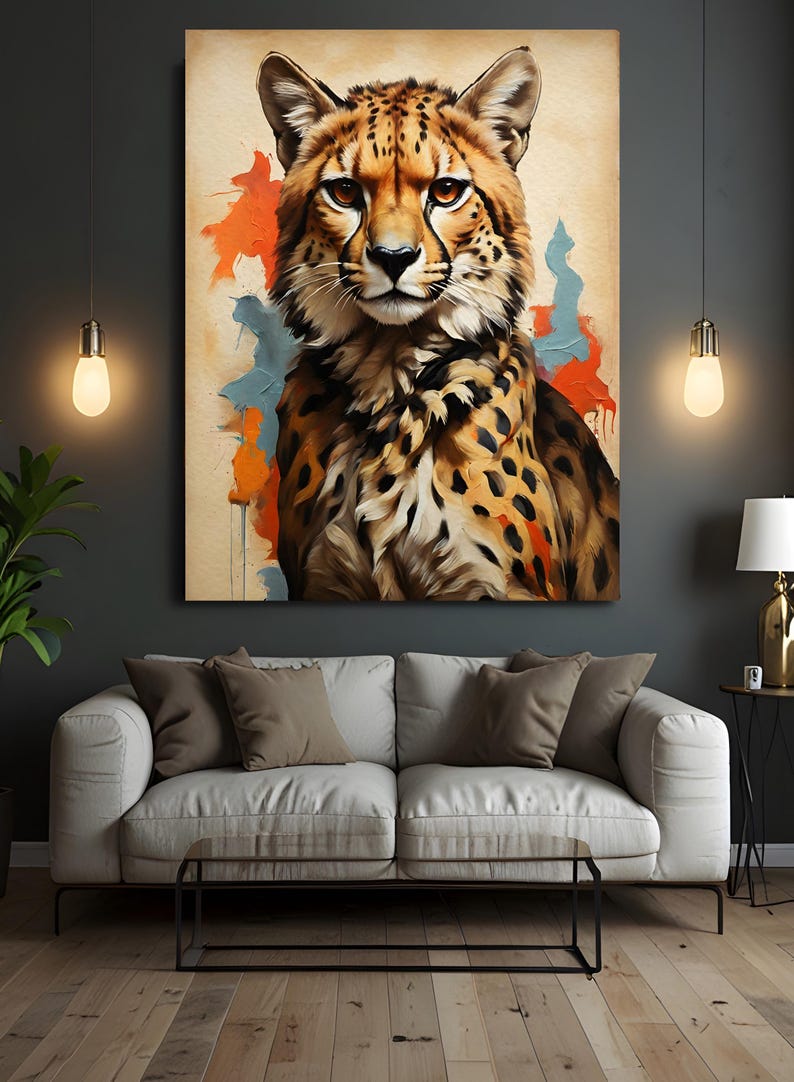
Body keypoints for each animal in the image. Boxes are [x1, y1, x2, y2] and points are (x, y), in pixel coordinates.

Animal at [256, 46, 619, 601]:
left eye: (446, 191)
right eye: (345, 192)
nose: (393, 256)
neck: (388, 381)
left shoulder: (500, 589)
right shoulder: (323, 584)